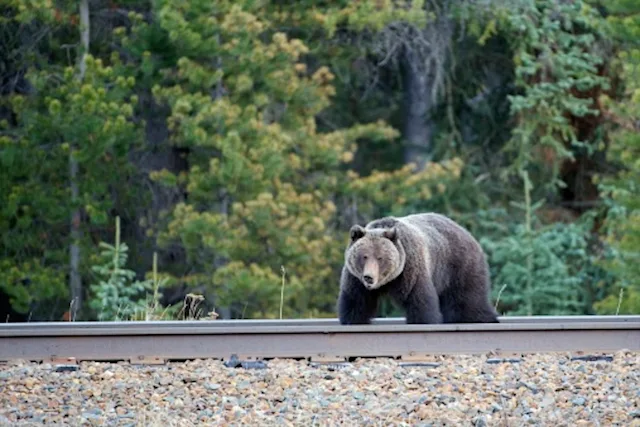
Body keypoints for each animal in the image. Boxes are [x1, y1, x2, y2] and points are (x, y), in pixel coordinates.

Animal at [337, 212, 499, 324]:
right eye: (364, 256)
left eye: (380, 257)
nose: (369, 277)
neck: (387, 281)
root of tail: (465, 231)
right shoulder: (355, 279)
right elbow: (356, 302)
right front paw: (352, 321)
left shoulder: (409, 269)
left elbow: (419, 300)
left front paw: (424, 321)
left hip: (459, 266)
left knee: (468, 299)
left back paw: (485, 318)